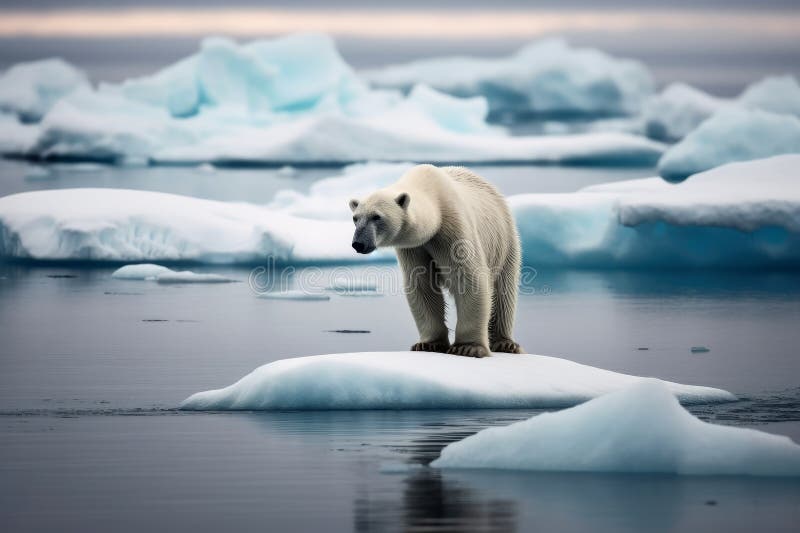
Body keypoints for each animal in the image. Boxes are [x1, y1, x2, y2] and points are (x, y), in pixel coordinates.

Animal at [349, 164, 523, 358]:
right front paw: (428, 344)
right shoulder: (414, 247)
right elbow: (422, 285)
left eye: (376, 216)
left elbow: (469, 279)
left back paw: (506, 343)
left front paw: (468, 347)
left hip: (505, 239)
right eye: (355, 218)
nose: (358, 244)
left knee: (504, 291)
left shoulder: (453, 229)